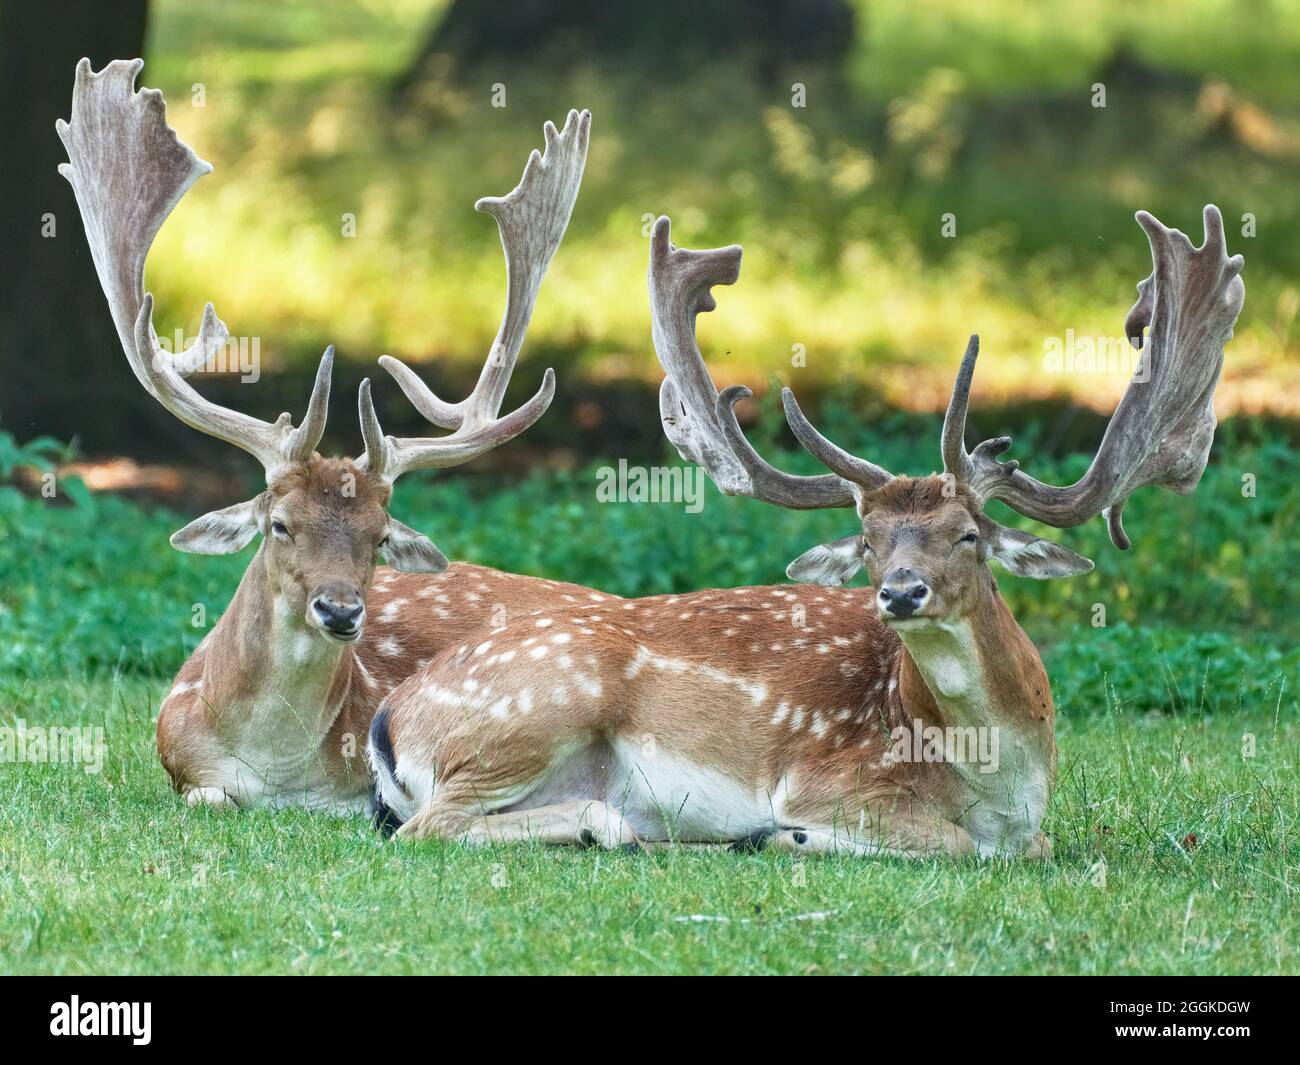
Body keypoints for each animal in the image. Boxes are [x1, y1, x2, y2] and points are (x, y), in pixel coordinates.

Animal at [58, 57, 597, 812]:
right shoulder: (183, 768)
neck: (276, 770)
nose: (340, 609)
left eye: (380, 535)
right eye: (279, 524)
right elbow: (208, 794)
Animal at [369, 208, 1244, 857]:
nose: (900, 592)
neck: (1005, 777)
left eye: (967, 532)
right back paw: (643, 829)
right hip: (538, 704)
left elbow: (1032, 845)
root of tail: (390, 717)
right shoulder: (829, 777)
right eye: (868, 540)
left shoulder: (1032, 828)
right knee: (428, 825)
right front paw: (781, 834)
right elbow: (956, 844)